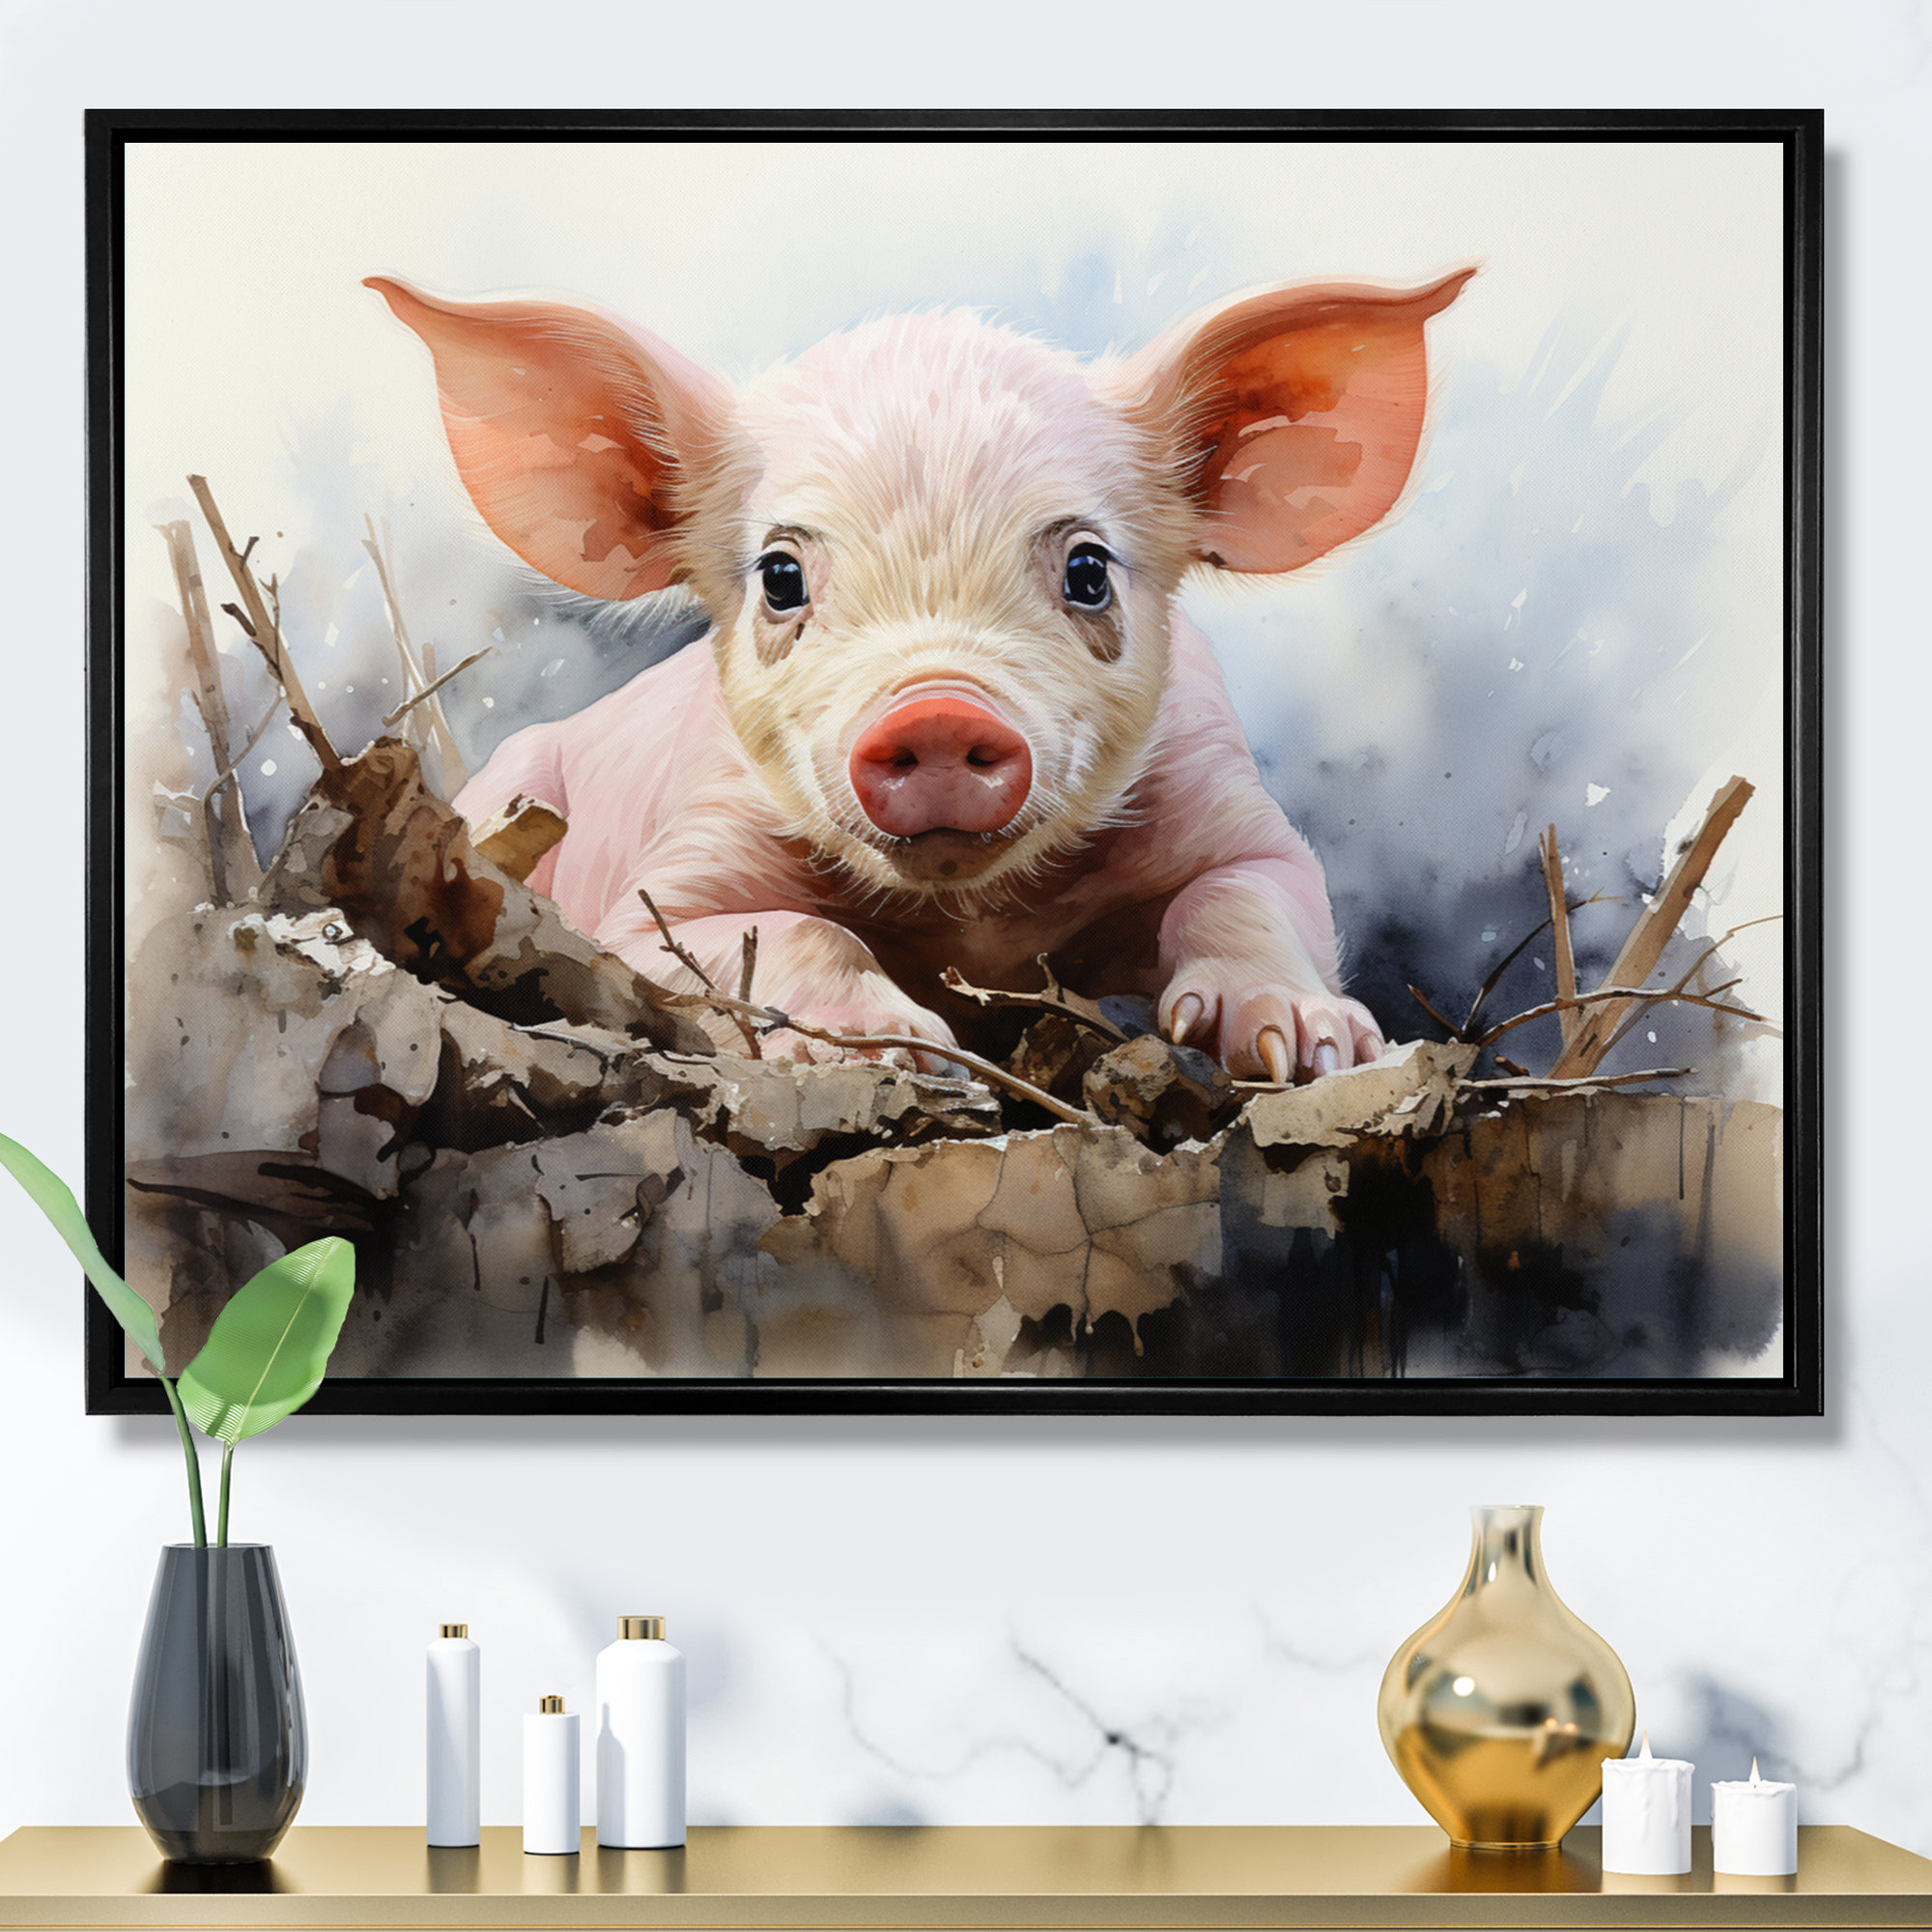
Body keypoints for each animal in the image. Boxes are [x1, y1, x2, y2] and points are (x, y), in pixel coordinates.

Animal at [368, 266, 1470, 1082]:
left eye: (1087, 569)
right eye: (779, 575)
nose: (937, 710)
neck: (974, 924)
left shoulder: (1229, 802)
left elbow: (1248, 890)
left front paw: (1303, 1046)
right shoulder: (668, 882)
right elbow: (786, 935)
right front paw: (906, 1053)